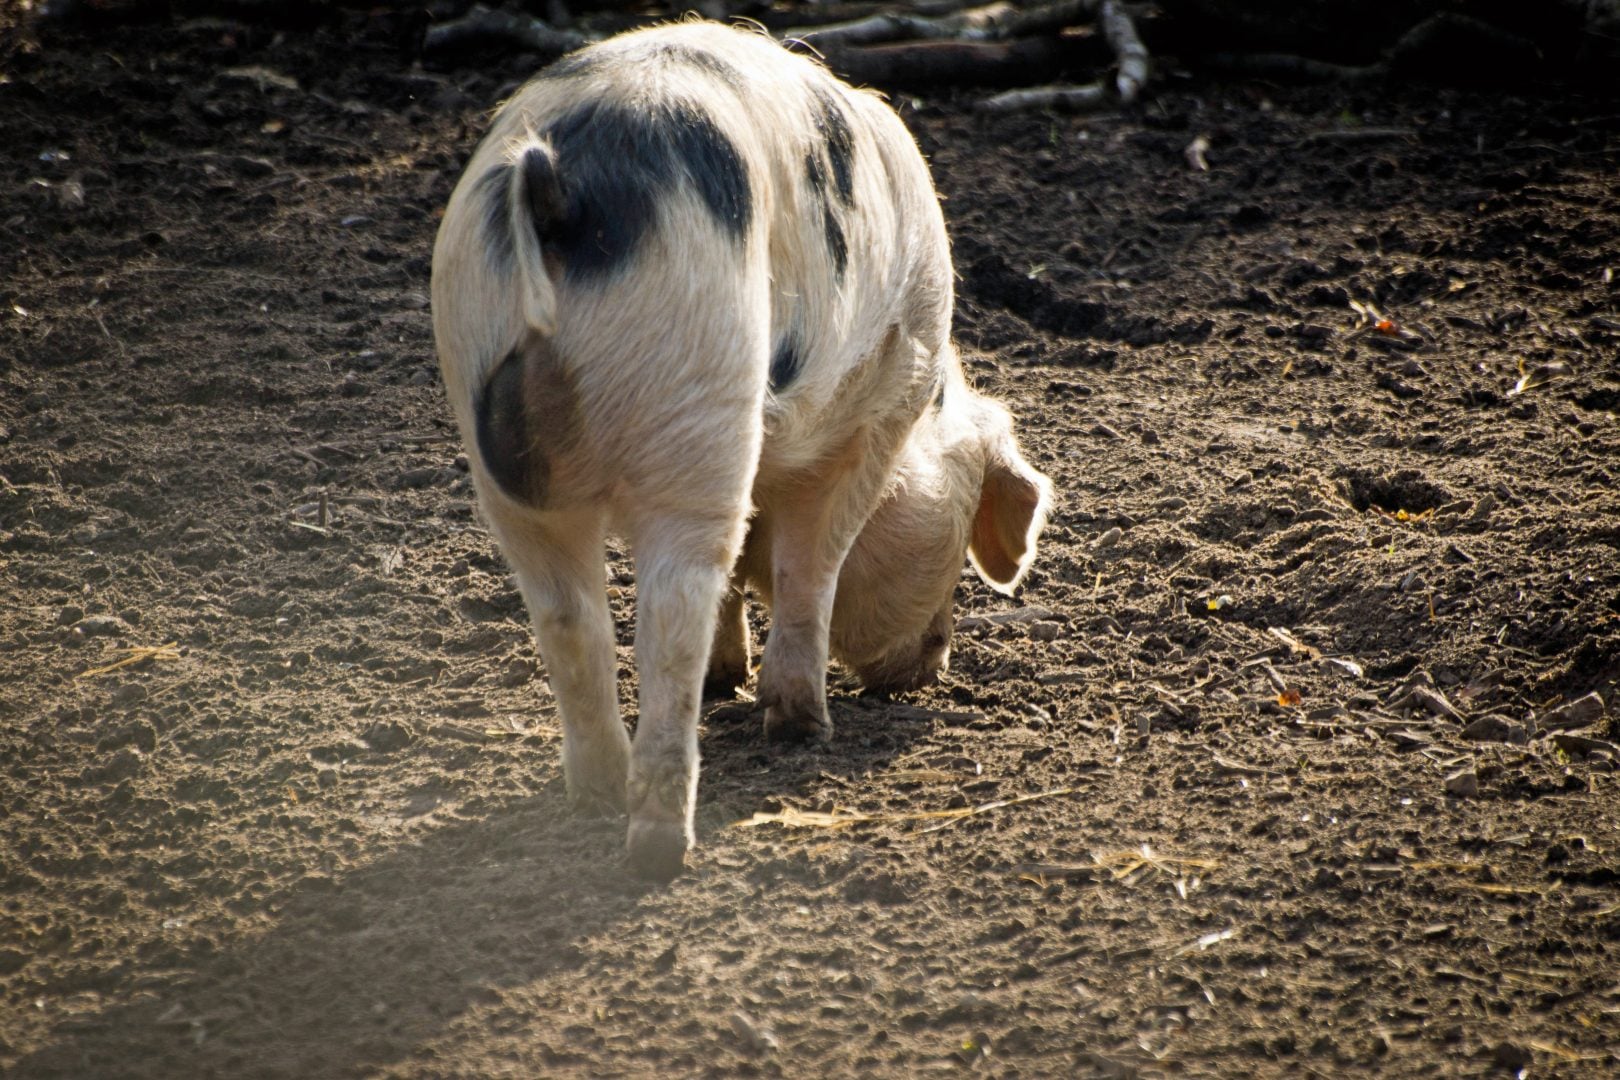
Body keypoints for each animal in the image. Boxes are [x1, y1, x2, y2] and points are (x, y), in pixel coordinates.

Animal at [431, 21, 1051, 881]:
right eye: (963, 540)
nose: (936, 661)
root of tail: (558, 180)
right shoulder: (877, 411)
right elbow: (811, 564)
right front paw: (801, 728)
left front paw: (733, 681)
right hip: (695, 392)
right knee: (673, 607)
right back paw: (662, 846)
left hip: (482, 400)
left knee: (568, 614)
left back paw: (597, 795)